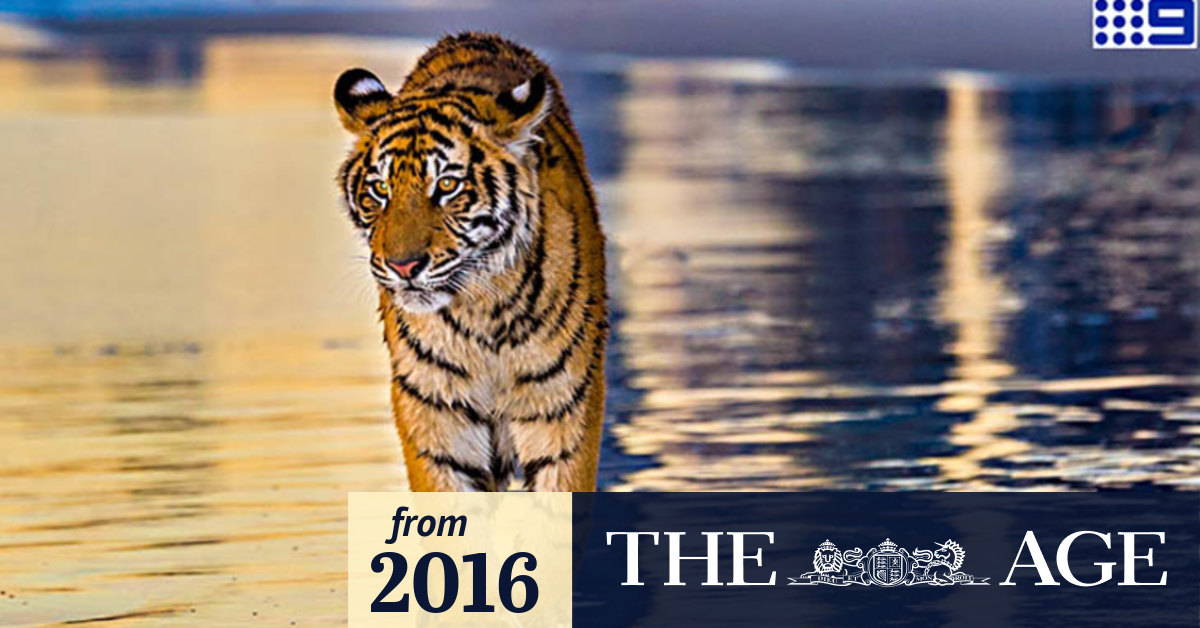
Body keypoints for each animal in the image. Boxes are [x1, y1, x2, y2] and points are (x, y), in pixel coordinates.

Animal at [333, 33, 608, 491]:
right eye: (380, 190)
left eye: (447, 185)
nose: (403, 267)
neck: (485, 310)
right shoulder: (435, 411)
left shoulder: (562, 405)